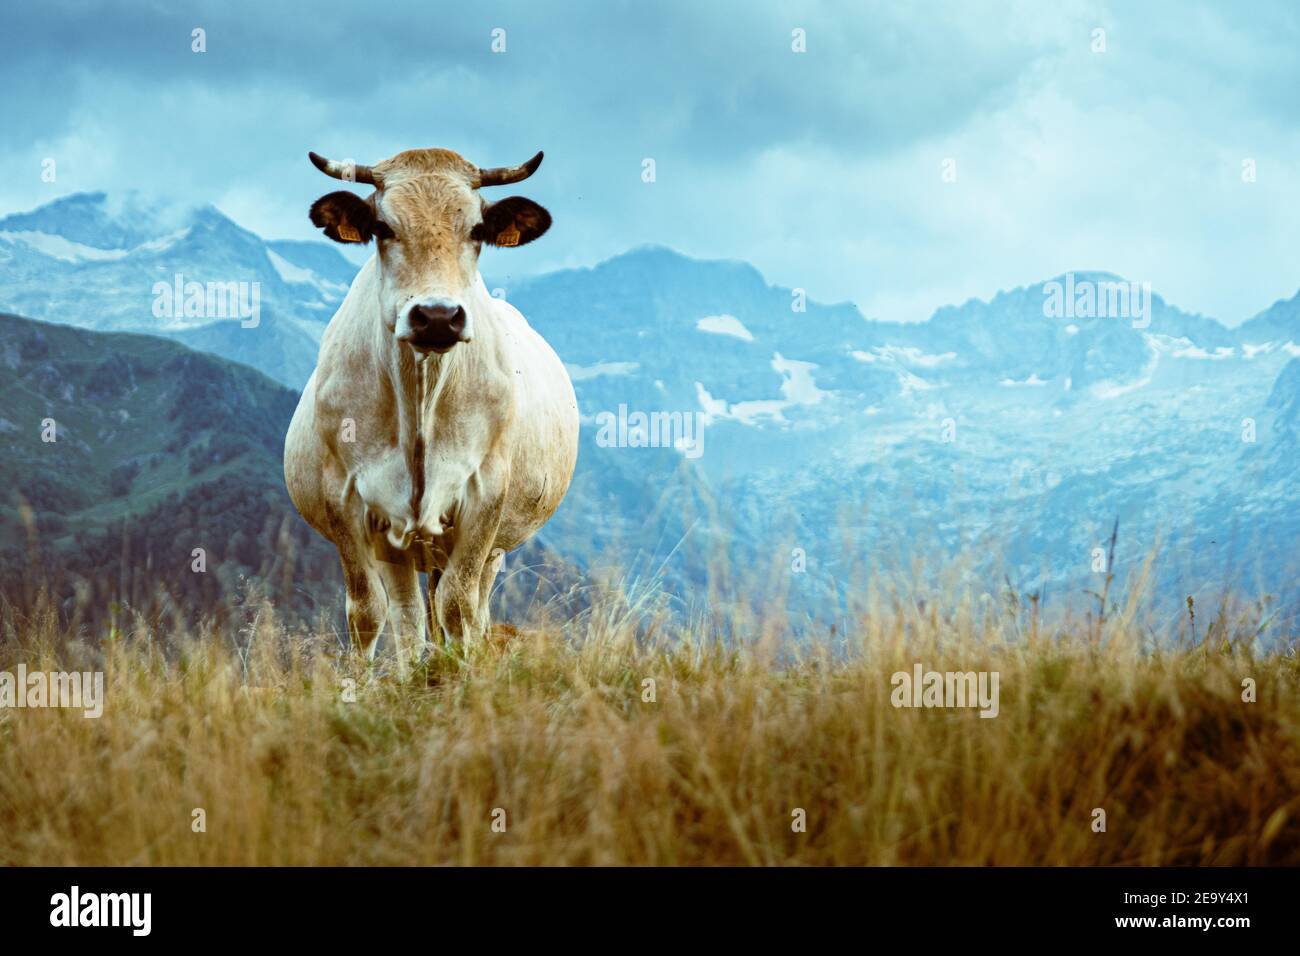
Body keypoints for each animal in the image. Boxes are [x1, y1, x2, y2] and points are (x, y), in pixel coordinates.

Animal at [284, 146, 579, 663]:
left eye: (477, 229)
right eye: (382, 227)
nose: (437, 317)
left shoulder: (486, 495)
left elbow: (458, 608)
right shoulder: (343, 495)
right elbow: (367, 613)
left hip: (489, 547)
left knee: (470, 606)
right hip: (398, 545)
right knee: (408, 616)